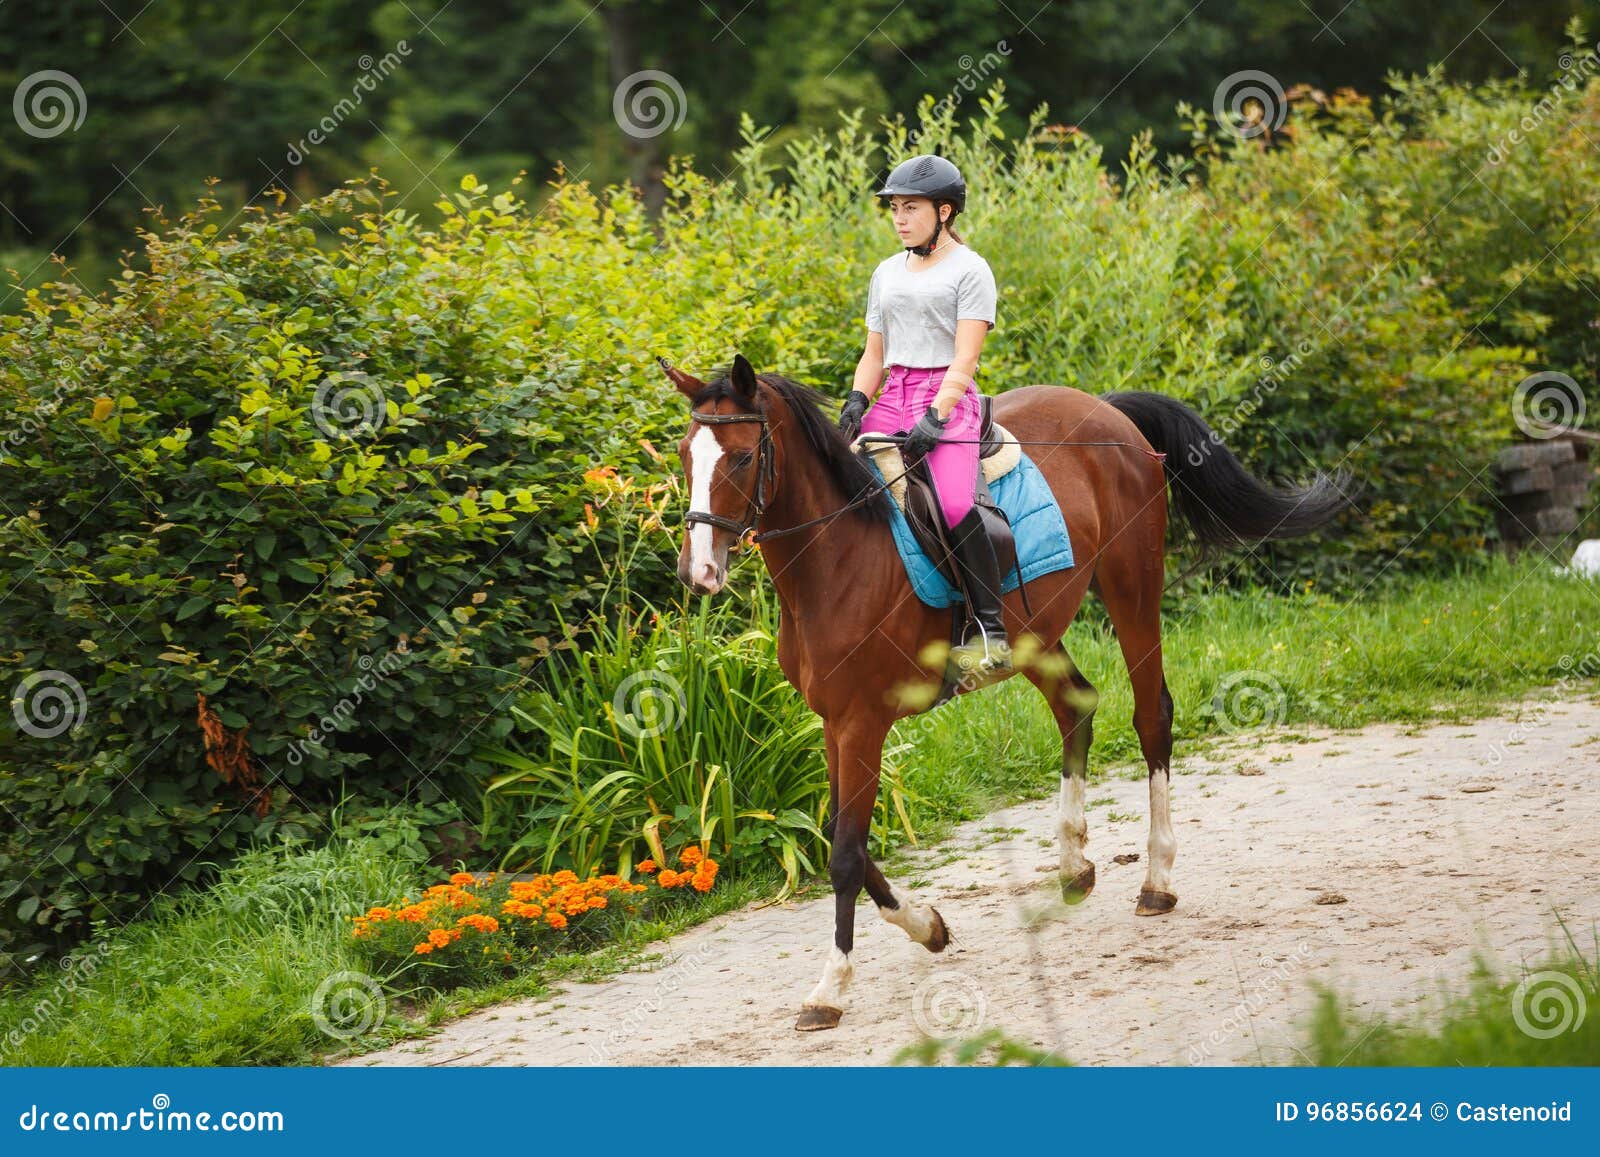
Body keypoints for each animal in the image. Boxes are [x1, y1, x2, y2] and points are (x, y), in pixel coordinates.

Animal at [664, 352, 1352, 1032]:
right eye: (685, 453)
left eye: (743, 457)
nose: (699, 572)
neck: (839, 555)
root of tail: (1107, 412)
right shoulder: (835, 721)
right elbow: (840, 834)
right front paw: (930, 929)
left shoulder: (862, 723)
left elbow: (846, 855)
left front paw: (829, 990)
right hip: (1034, 632)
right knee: (1075, 705)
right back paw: (1074, 868)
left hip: (1131, 586)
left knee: (1151, 716)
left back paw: (1156, 880)